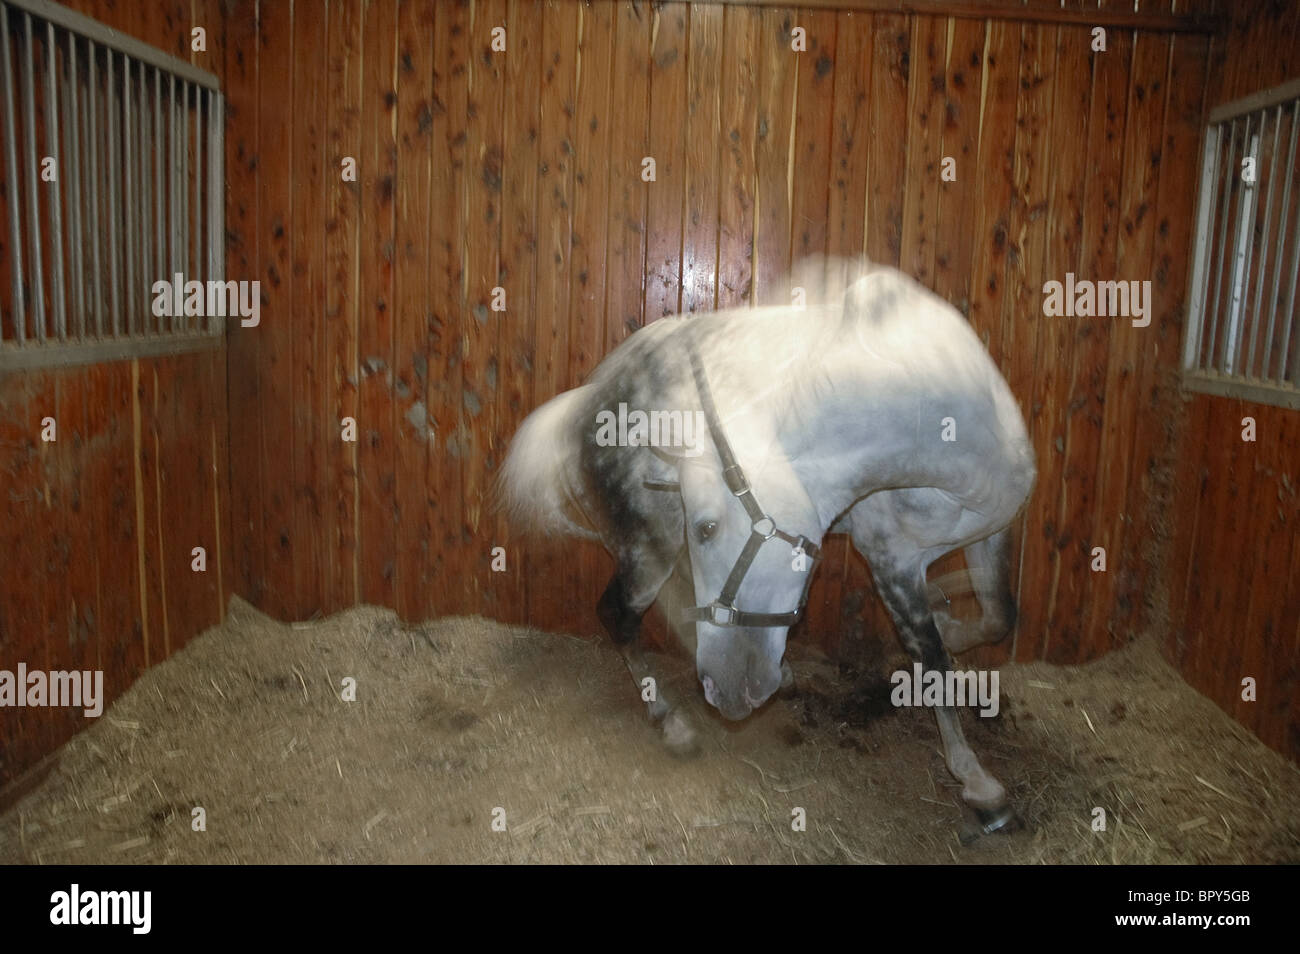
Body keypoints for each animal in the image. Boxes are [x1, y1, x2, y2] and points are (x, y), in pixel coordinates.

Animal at [498, 257, 1036, 833]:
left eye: (707, 528)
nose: (725, 690)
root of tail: (584, 402)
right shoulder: (891, 556)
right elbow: (931, 658)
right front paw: (978, 783)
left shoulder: (990, 532)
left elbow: (999, 615)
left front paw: (952, 620)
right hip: (649, 546)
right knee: (618, 615)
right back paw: (672, 721)